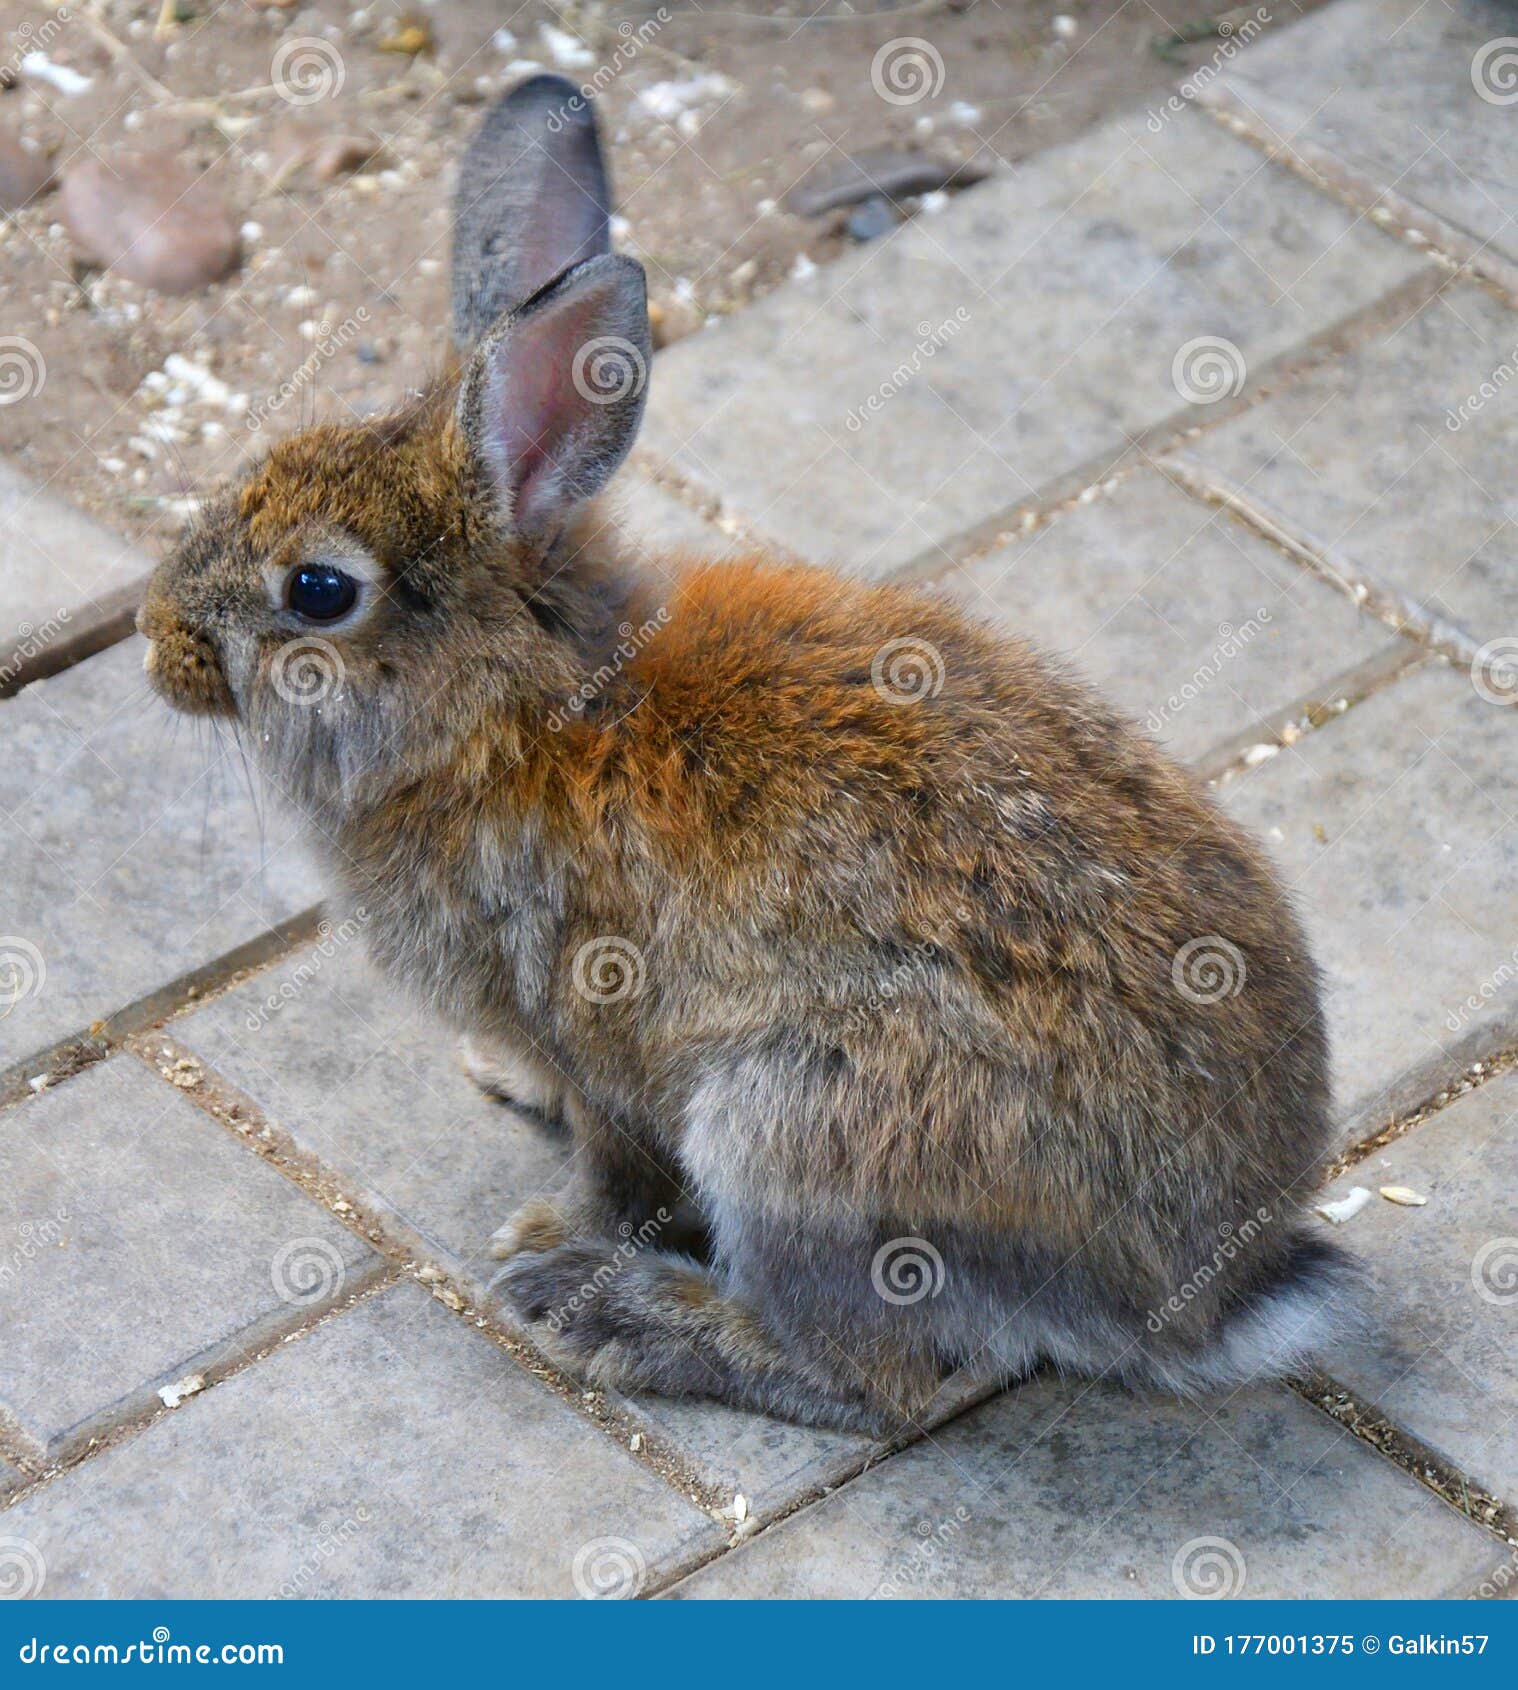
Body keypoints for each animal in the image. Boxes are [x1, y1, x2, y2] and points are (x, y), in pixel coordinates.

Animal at [138, 73, 1356, 1434]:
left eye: (317, 590)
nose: (158, 638)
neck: (520, 711)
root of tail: (1206, 1299)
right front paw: (508, 1089)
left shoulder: (597, 1030)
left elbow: (617, 1168)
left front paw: (550, 1237)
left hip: (793, 1134)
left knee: (878, 1379)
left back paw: (618, 1317)